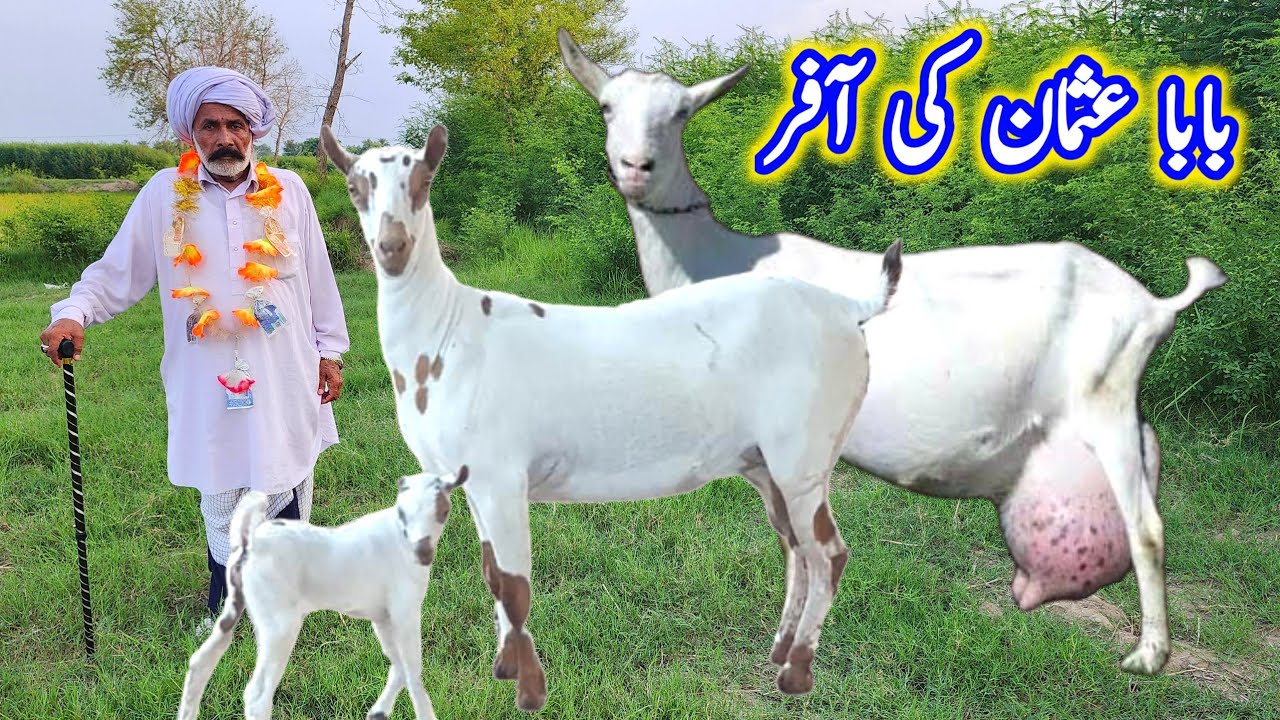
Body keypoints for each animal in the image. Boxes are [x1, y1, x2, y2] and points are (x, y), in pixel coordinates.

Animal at [176, 471, 464, 720]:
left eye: (441, 509)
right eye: (403, 511)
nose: (422, 552)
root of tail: (251, 543)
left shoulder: (384, 619)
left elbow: (399, 667)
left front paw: (379, 712)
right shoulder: (405, 614)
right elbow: (413, 670)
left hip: (232, 613)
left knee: (200, 663)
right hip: (280, 628)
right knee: (257, 695)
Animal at [319, 122, 902, 710]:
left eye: (423, 181)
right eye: (354, 188)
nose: (392, 248)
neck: (448, 330)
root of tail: (847, 307)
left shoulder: (500, 475)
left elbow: (514, 583)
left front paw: (529, 694)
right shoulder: (468, 478)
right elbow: (492, 575)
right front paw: (503, 669)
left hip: (804, 448)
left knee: (827, 554)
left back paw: (796, 674)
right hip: (765, 460)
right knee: (795, 548)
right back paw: (780, 650)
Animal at [558, 28, 1228, 677]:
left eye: (680, 113)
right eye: (606, 106)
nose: (636, 167)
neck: (718, 261)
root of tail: (1155, 305)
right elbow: (791, 540)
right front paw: (780, 646)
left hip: (1103, 403)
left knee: (1146, 528)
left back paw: (1149, 656)